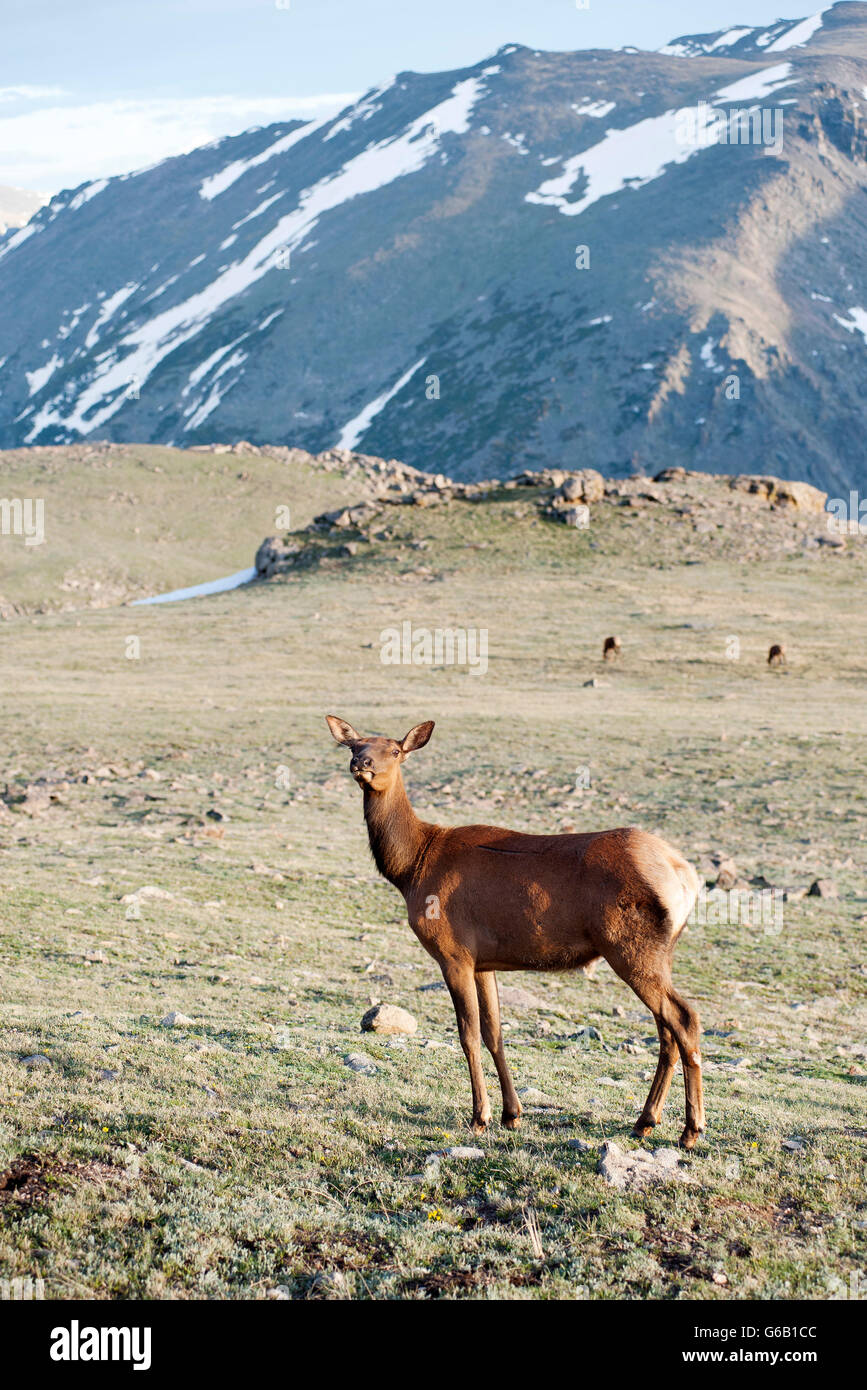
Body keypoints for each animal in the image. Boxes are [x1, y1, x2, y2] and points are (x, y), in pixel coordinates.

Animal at [326, 715, 706, 1149]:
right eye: (354, 745)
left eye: (394, 750)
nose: (362, 764)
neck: (411, 869)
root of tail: (685, 876)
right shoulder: (484, 960)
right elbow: (495, 1033)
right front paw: (512, 1114)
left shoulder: (453, 951)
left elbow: (468, 1034)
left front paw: (480, 1117)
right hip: (657, 953)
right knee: (666, 1032)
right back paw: (645, 1121)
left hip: (630, 947)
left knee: (684, 1019)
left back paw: (690, 1129)